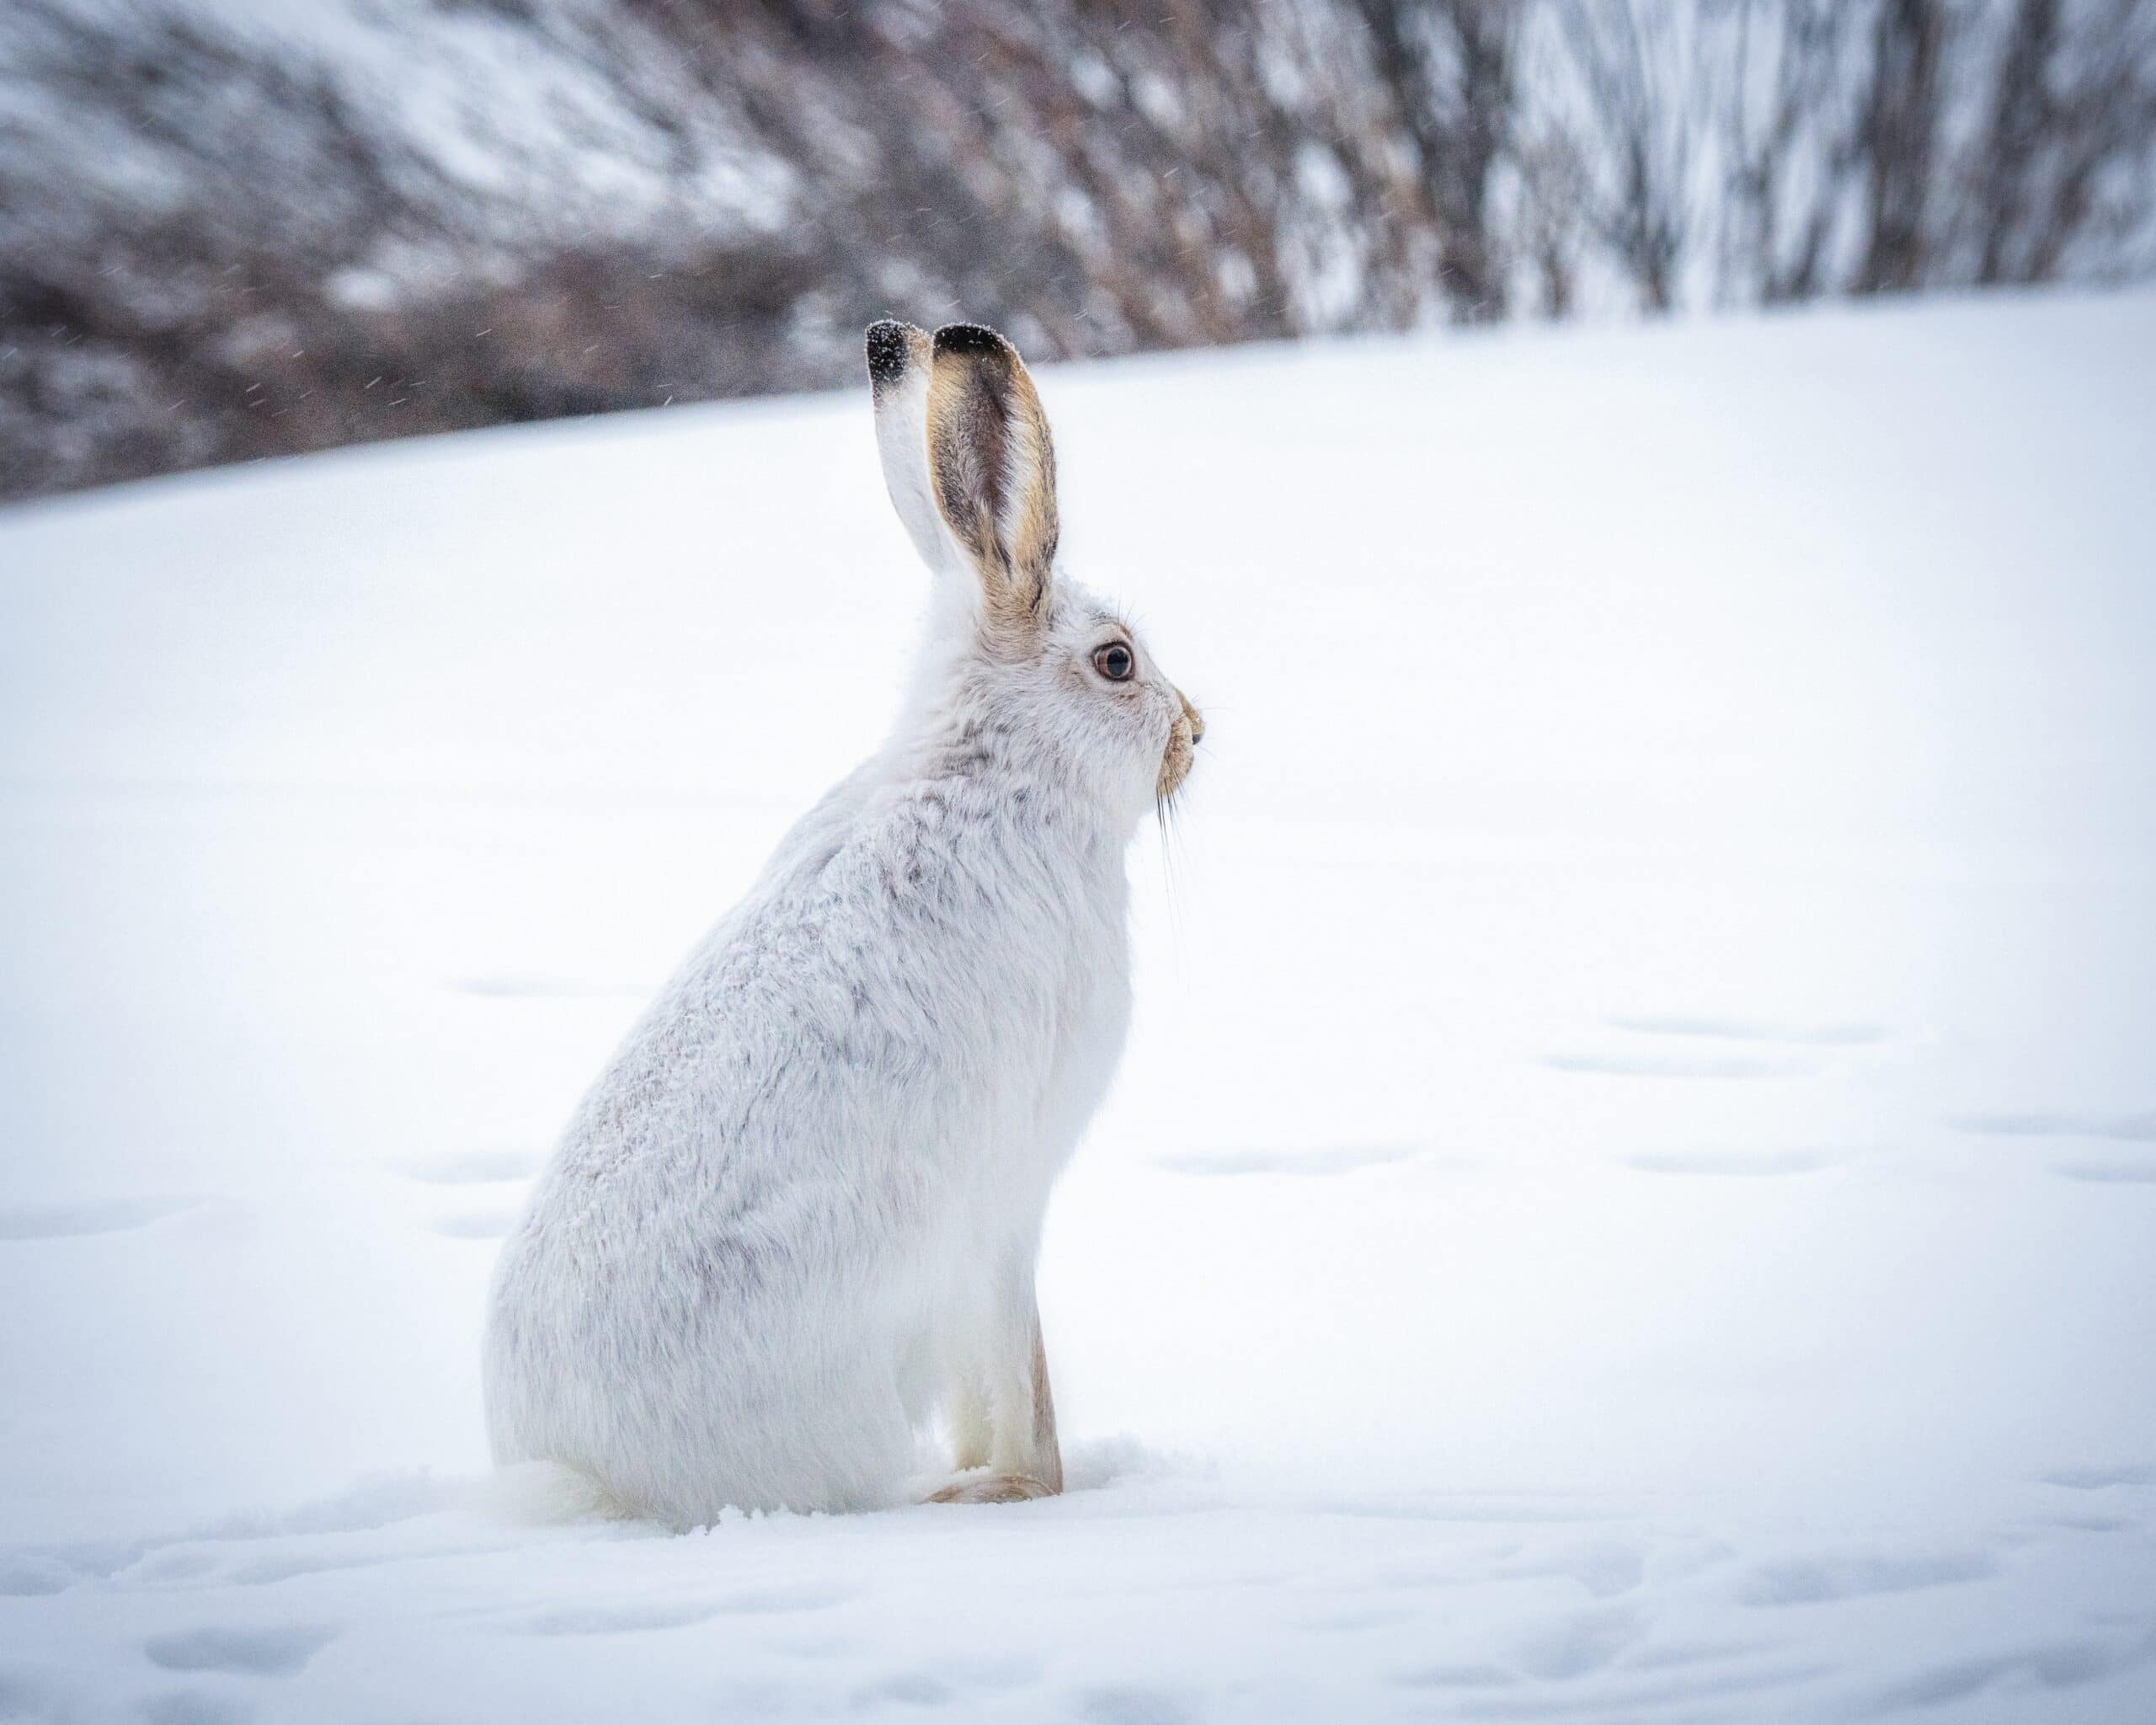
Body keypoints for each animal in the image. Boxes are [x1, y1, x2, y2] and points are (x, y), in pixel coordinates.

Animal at [482, 319, 1203, 1526]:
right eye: (1118, 662)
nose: (1196, 730)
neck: (997, 772)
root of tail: (591, 1478)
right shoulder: (1003, 1203)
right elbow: (1018, 1363)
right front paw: (1032, 1483)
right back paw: (953, 1494)